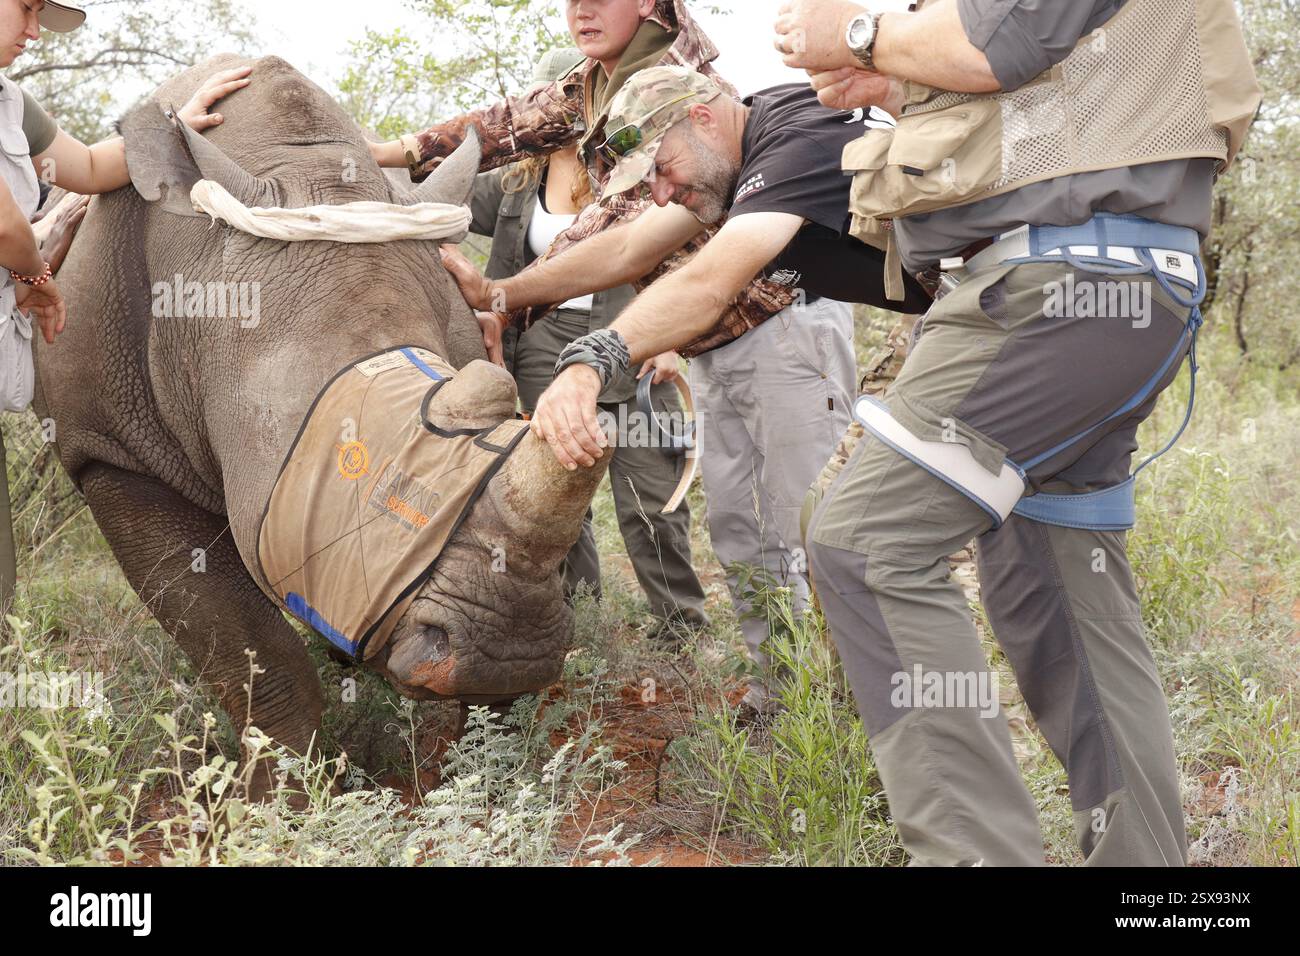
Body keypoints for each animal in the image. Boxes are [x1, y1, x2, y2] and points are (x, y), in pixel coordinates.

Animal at [33, 55, 611, 789]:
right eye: (342, 470)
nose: (510, 652)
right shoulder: (110, 453)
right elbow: (249, 649)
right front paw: (292, 797)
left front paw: (467, 772)